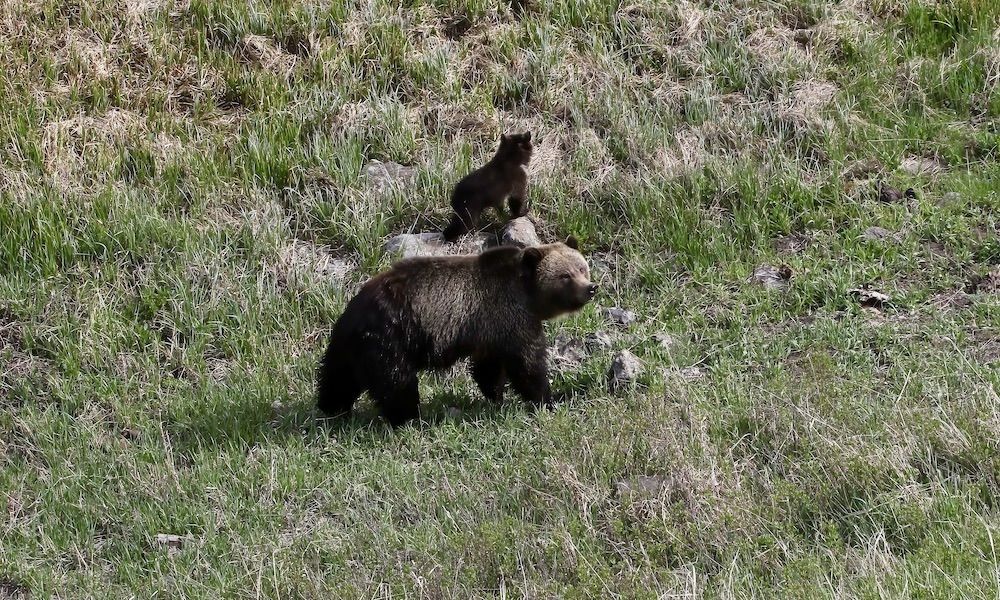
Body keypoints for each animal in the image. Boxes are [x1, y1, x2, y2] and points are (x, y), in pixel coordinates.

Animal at [316, 238, 597, 426]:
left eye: (582, 267)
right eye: (565, 275)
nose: (590, 288)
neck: (528, 296)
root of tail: (354, 311)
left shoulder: (489, 329)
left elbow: (488, 368)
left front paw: (496, 395)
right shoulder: (511, 318)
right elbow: (527, 364)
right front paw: (548, 397)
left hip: (350, 347)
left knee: (337, 378)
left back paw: (331, 409)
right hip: (391, 338)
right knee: (397, 383)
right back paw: (410, 419)